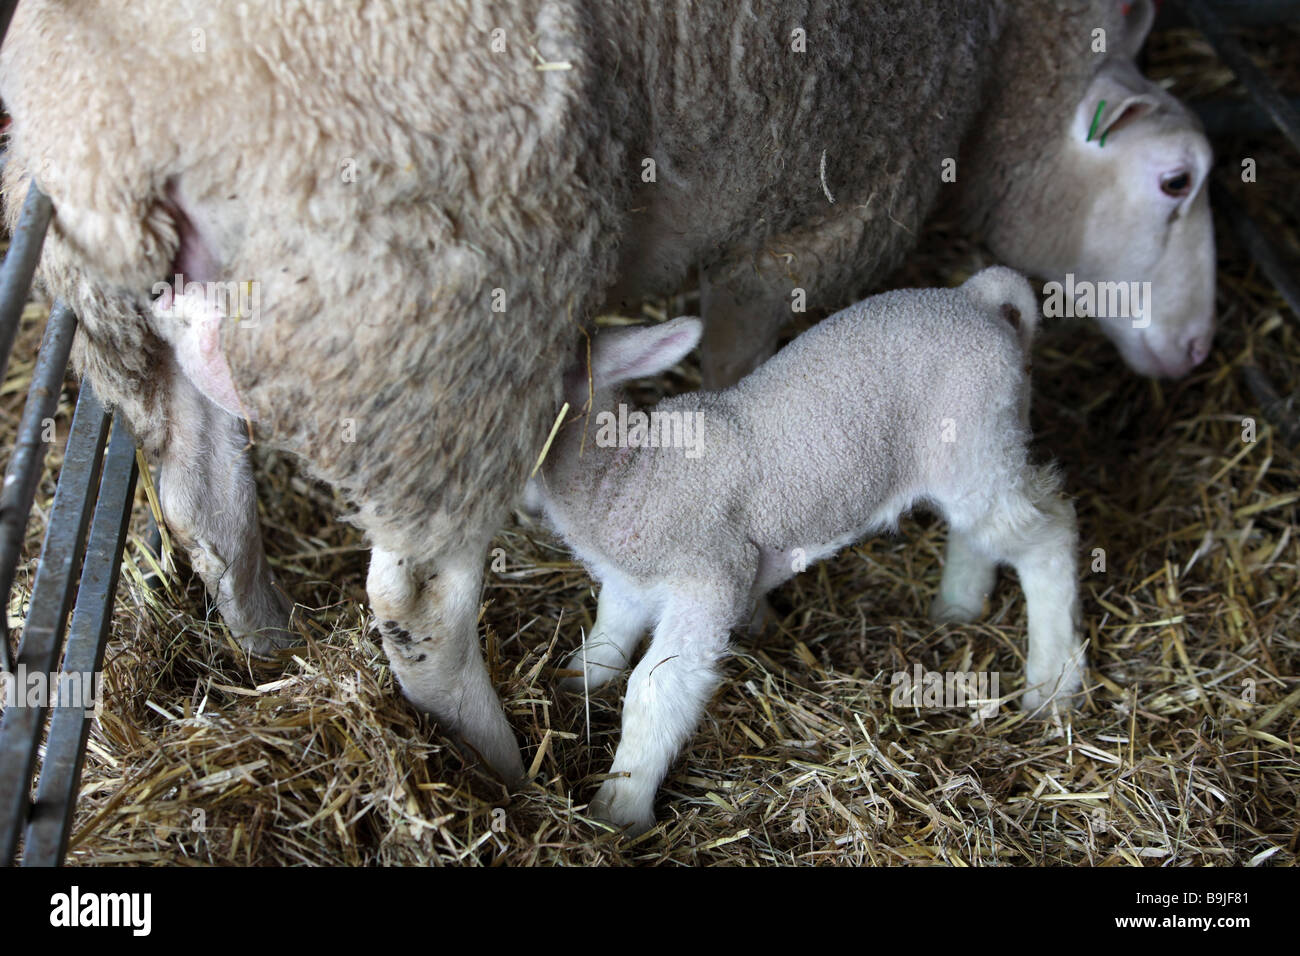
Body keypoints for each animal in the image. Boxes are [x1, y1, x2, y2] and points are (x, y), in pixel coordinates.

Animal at [528, 267, 1083, 833]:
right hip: (974, 454)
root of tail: (976, 300)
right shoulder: (626, 584)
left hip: (978, 439)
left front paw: (618, 811)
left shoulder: (710, 579)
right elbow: (602, 643)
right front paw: (570, 687)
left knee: (1049, 537)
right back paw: (958, 606)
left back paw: (1051, 684)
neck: (626, 477)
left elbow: (653, 689)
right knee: (977, 532)